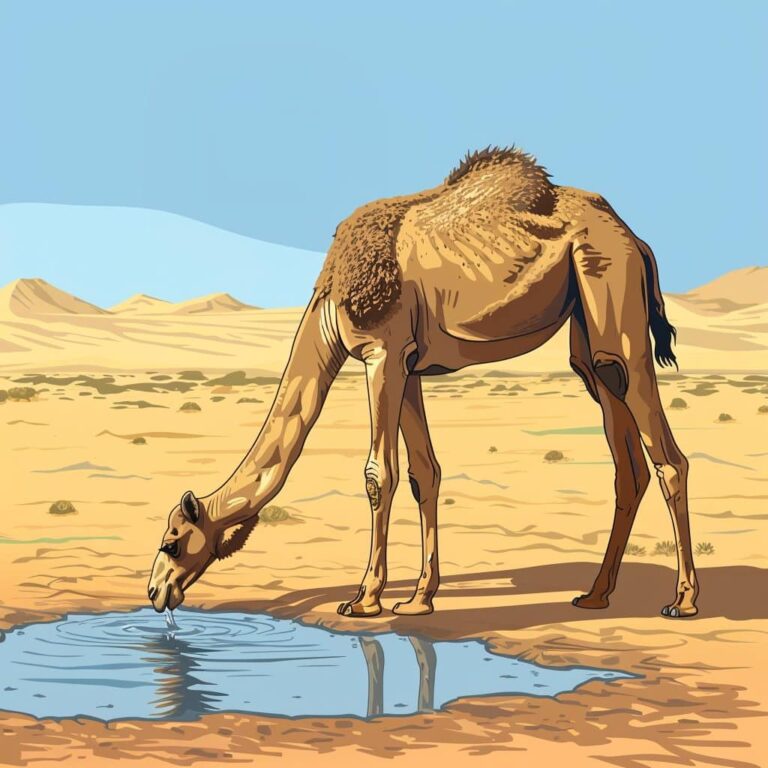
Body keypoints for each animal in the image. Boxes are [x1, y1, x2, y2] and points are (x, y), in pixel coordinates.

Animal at [148, 147, 698, 621]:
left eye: (172, 541)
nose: (156, 591)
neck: (330, 304)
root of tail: (635, 238)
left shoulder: (381, 353)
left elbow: (379, 474)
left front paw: (364, 598)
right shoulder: (408, 366)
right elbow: (424, 473)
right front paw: (418, 599)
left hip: (611, 297)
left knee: (667, 454)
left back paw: (683, 600)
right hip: (586, 333)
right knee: (626, 459)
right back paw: (595, 594)